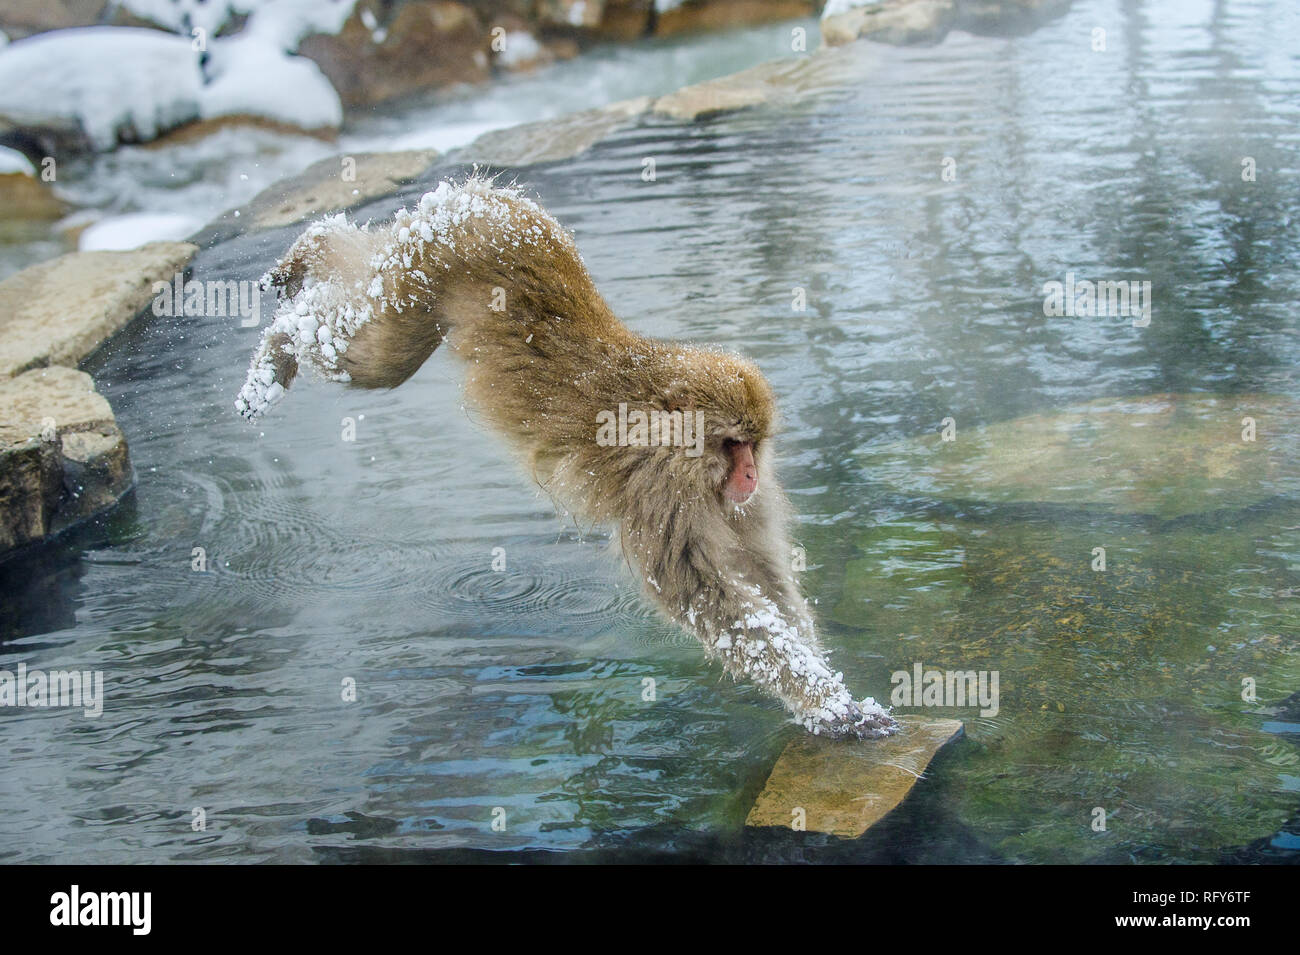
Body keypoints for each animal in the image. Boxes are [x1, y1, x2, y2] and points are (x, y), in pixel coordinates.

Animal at [235, 175, 897, 740]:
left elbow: (763, 573)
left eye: (754, 446)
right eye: (734, 445)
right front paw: (833, 708)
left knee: (368, 302)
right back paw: (280, 346)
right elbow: (704, 595)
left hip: (421, 256)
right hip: (426, 269)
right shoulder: (662, 490)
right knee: (368, 355)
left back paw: (312, 250)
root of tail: (480, 200)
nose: (753, 475)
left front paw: (826, 686)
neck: (668, 434)